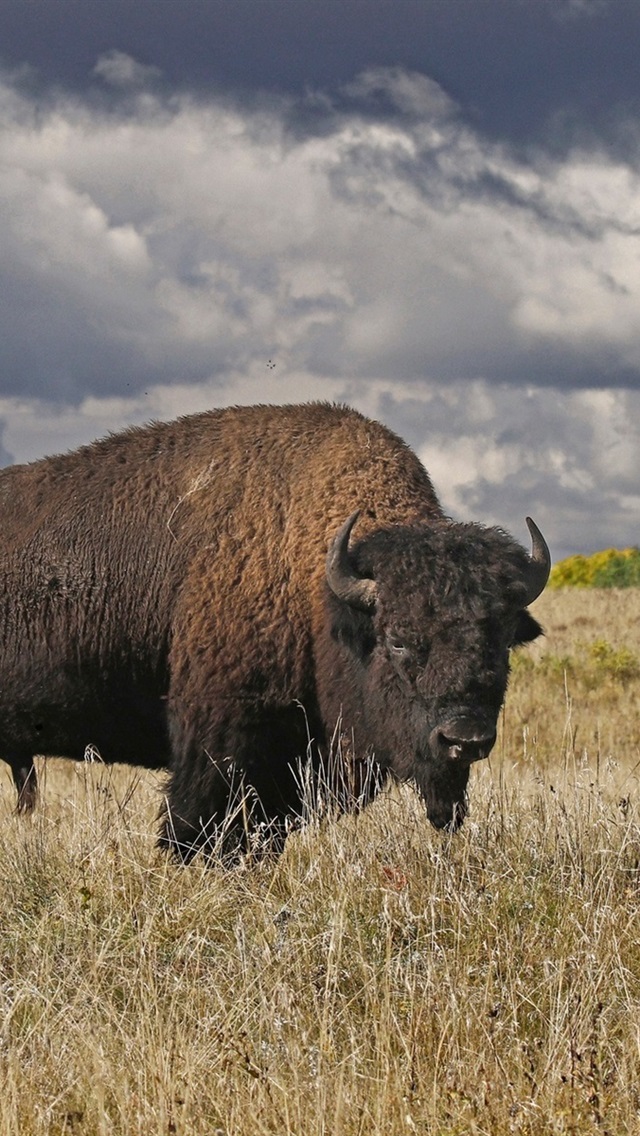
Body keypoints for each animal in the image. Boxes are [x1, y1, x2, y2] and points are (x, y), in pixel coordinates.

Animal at [0, 402, 549, 856]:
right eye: (397, 640)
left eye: (501, 645)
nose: (464, 738)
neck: (317, 587)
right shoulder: (220, 741)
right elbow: (199, 819)